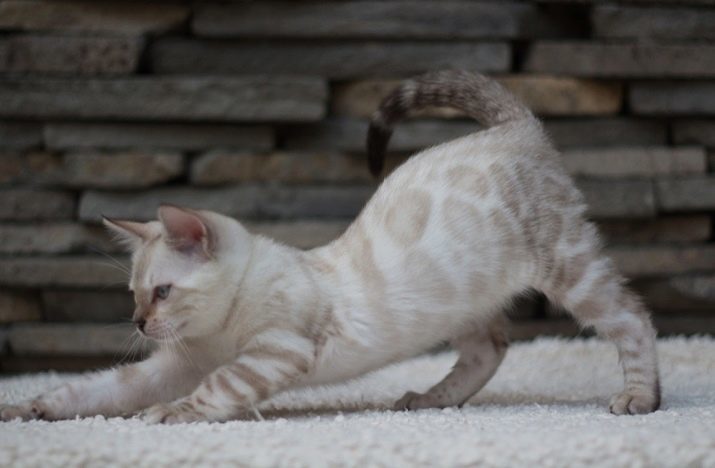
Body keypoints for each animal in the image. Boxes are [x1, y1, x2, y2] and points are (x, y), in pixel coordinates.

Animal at [0, 70, 660, 424]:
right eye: (134, 295)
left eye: (162, 292)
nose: (139, 323)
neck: (219, 330)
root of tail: (514, 125)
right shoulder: (173, 363)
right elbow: (92, 390)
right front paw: (26, 410)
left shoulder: (272, 353)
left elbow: (213, 390)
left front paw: (169, 415)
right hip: (459, 300)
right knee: (490, 348)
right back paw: (428, 399)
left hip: (568, 269)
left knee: (633, 317)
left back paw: (639, 397)